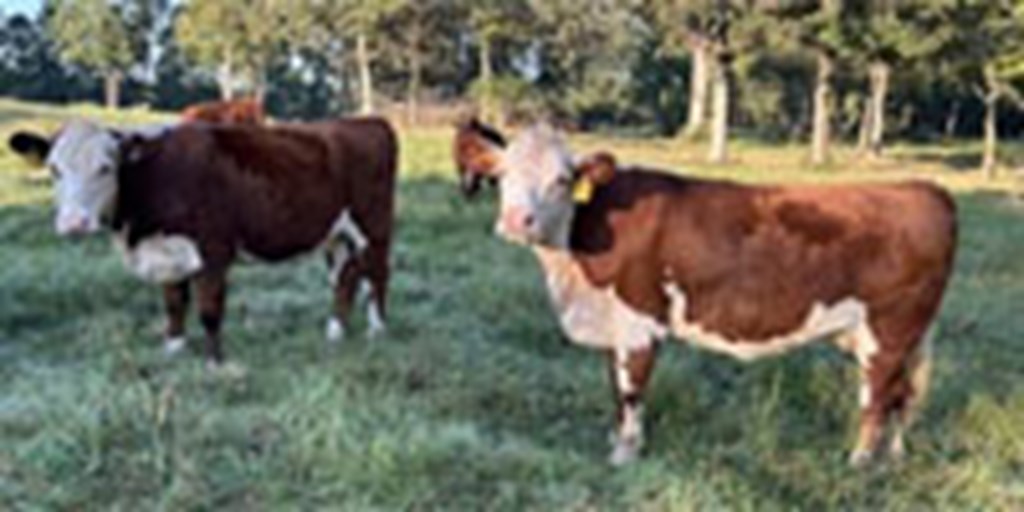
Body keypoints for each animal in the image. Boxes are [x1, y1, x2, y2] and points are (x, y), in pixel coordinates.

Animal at [8, 117, 397, 369]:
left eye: (105, 167)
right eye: (54, 169)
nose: (74, 223)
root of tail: (365, 121)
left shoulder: (214, 251)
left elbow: (209, 310)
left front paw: (215, 363)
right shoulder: (167, 253)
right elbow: (174, 304)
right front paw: (173, 348)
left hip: (374, 226)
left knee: (377, 273)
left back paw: (377, 329)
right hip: (336, 234)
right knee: (346, 278)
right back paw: (334, 332)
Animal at [455, 120, 957, 467]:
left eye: (561, 179)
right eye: (502, 175)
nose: (517, 222)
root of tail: (926, 189)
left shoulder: (640, 322)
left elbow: (631, 391)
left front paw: (626, 454)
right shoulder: (614, 324)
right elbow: (614, 387)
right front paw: (615, 440)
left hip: (889, 331)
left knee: (878, 397)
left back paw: (858, 461)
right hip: (901, 336)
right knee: (902, 396)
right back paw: (892, 458)